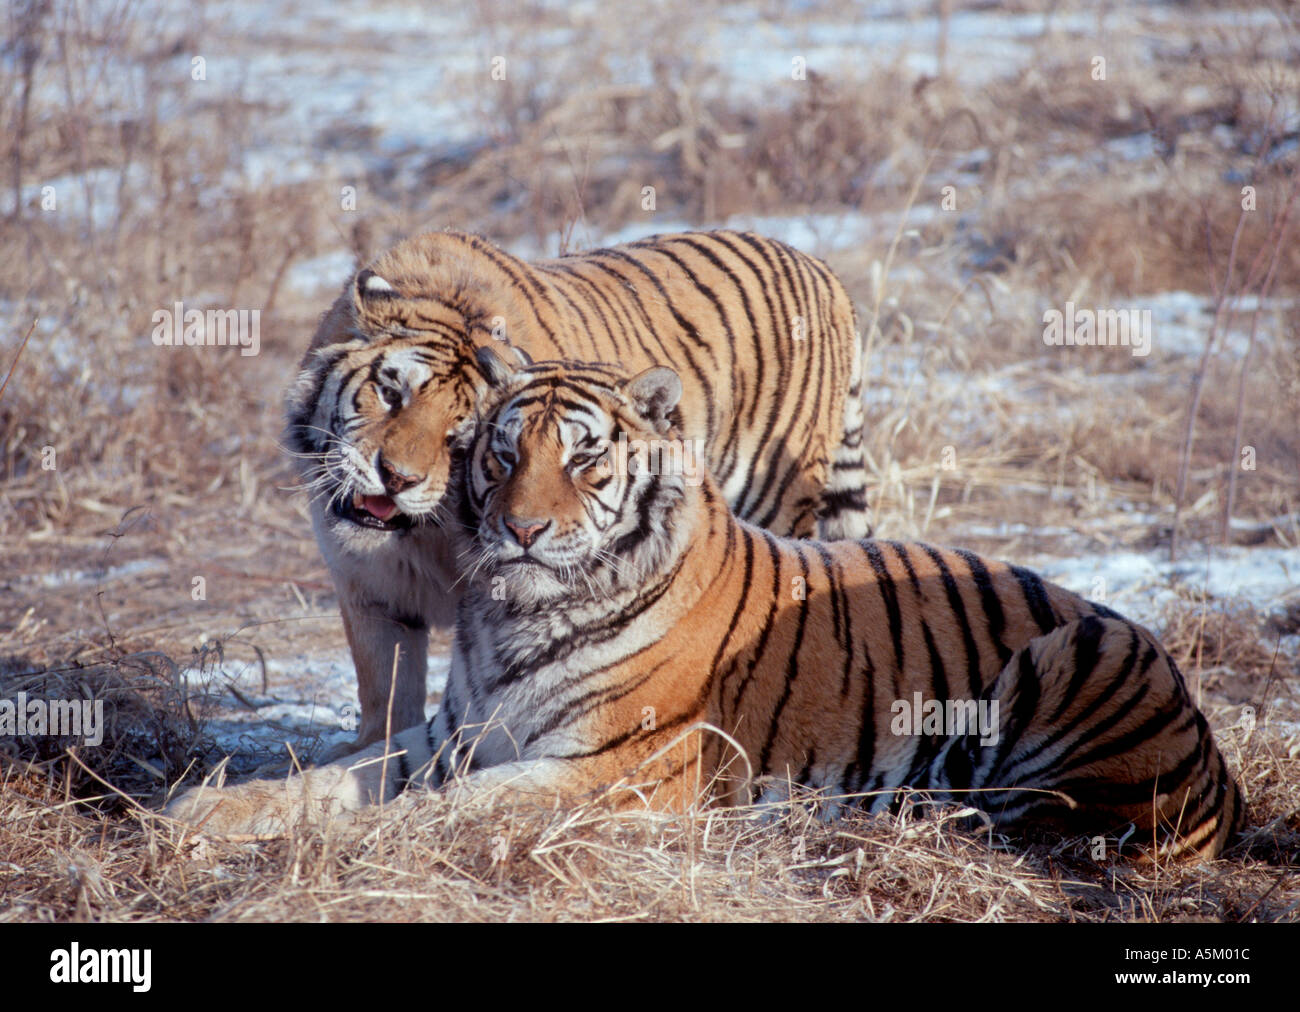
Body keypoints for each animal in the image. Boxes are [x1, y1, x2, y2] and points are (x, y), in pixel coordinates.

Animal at [170, 355, 1245, 860]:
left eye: (584, 458)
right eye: (504, 454)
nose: (520, 530)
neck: (516, 610)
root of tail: (1220, 763)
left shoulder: (611, 770)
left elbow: (434, 811)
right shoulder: (451, 736)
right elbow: (327, 779)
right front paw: (202, 810)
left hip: (1073, 653)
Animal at [285, 229, 870, 752]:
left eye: (461, 433)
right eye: (390, 393)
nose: (396, 477)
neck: (423, 538)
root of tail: (823, 271)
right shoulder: (372, 592)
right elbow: (383, 689)